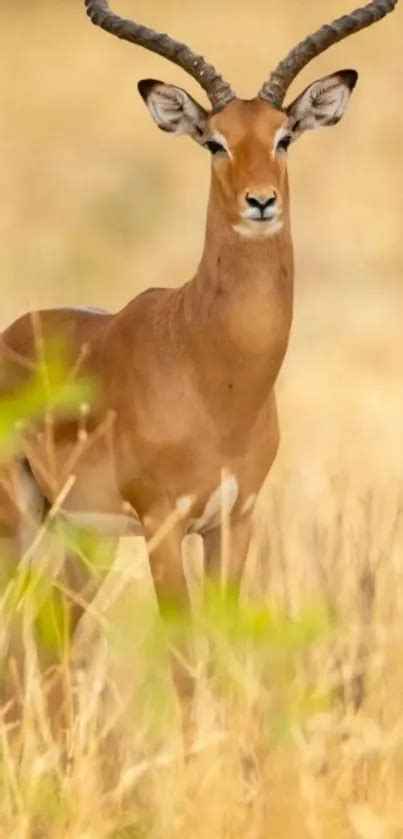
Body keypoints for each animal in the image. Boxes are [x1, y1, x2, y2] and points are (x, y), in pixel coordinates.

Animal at [0, 0, 398, 693]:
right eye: (215, 140)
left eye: (283, 135)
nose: (261, 201)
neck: (213, 372)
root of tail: (13, 333)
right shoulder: (163, 524)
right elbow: (185, 660)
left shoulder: (235, 521)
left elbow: (223, 649)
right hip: (18, 522)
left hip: (85, 539)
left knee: (49, 645)